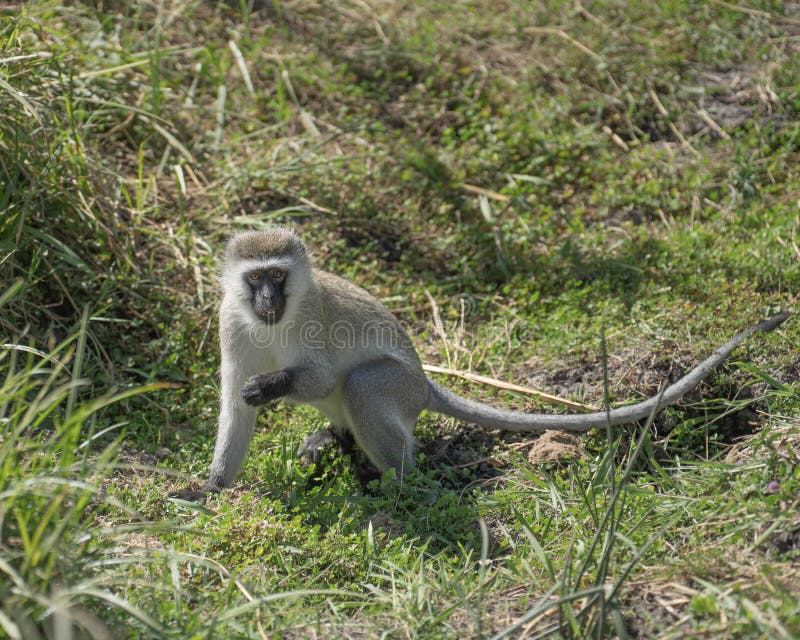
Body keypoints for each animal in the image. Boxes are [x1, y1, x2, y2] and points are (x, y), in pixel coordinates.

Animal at [201, 227, 789, 493]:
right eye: (255, 278)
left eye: (278, 276)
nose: (269, 300)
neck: (269, 321)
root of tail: (425, 383)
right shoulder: (231, 319)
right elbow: (234, 408)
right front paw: (211, 492)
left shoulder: (308, 317)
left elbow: (320, 377)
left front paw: (270, 385)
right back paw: (334, 443)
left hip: (399, 388)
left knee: (361, 386)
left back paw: (401, 487)